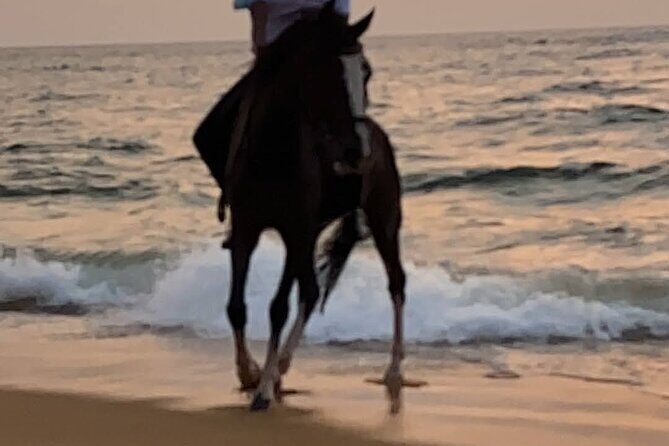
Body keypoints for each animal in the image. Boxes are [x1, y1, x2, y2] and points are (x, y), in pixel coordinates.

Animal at [197, 2, 407, 413]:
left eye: (366, 71)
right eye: (329, 71)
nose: (357, 153)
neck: (273, 150)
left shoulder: (295, 229)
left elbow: (277, 307)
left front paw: (262, 390)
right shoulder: (247, 228)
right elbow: (236, 306)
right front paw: (249, 372)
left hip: (383, 219)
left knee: (396, 283)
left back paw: (393, 370)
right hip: (312, 233)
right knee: (310, 291)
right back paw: (281, 368)